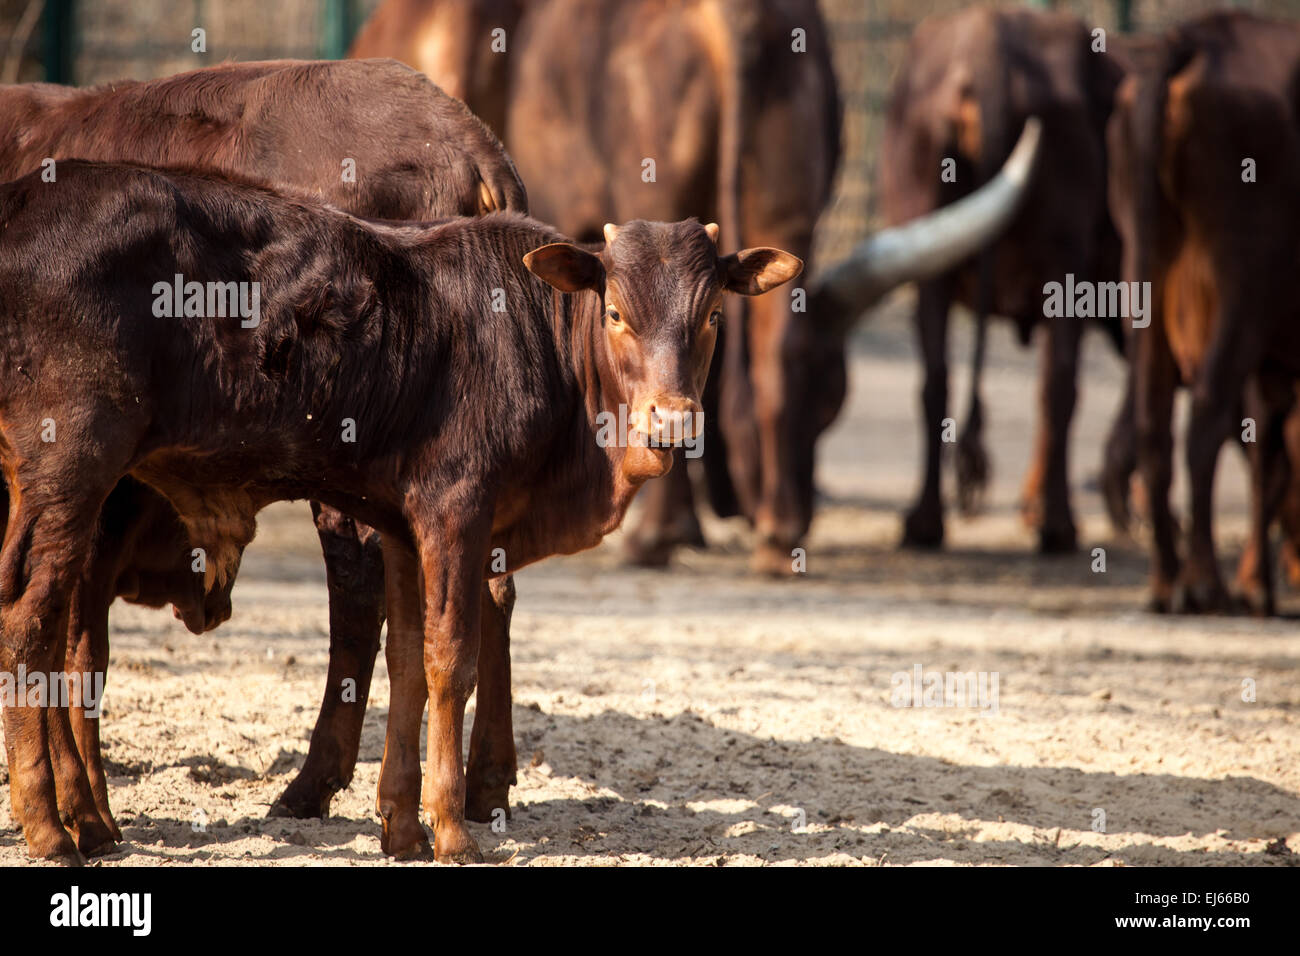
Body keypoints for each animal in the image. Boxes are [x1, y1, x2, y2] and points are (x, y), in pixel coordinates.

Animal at [0, 158, 803, 862]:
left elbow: (407, 659)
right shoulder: (455, 511)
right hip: (72, 469)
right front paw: (451, 830)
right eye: (614, 311)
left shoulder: (401, 527)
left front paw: (403, 824)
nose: (672, 421)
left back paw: (86, 822)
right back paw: (51, 829)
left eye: (711, 315)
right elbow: (452, 661)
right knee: (30, 626)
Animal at [881, 6, 1127, 554]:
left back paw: (925, 521)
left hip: (926, 235)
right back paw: (1058, 523)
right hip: (1064, 254)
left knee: (937, 379)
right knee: (1060, 384)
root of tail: (988, 41)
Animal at [1108, 10, 1300, 614]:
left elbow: (1269, 456)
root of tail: (1194, 36)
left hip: (1144, 272)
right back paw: (1204, 583)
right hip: (1241, 280)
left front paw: (1259, 581)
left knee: (1154, 421)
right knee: (1206, 419)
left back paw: (1169, 579)